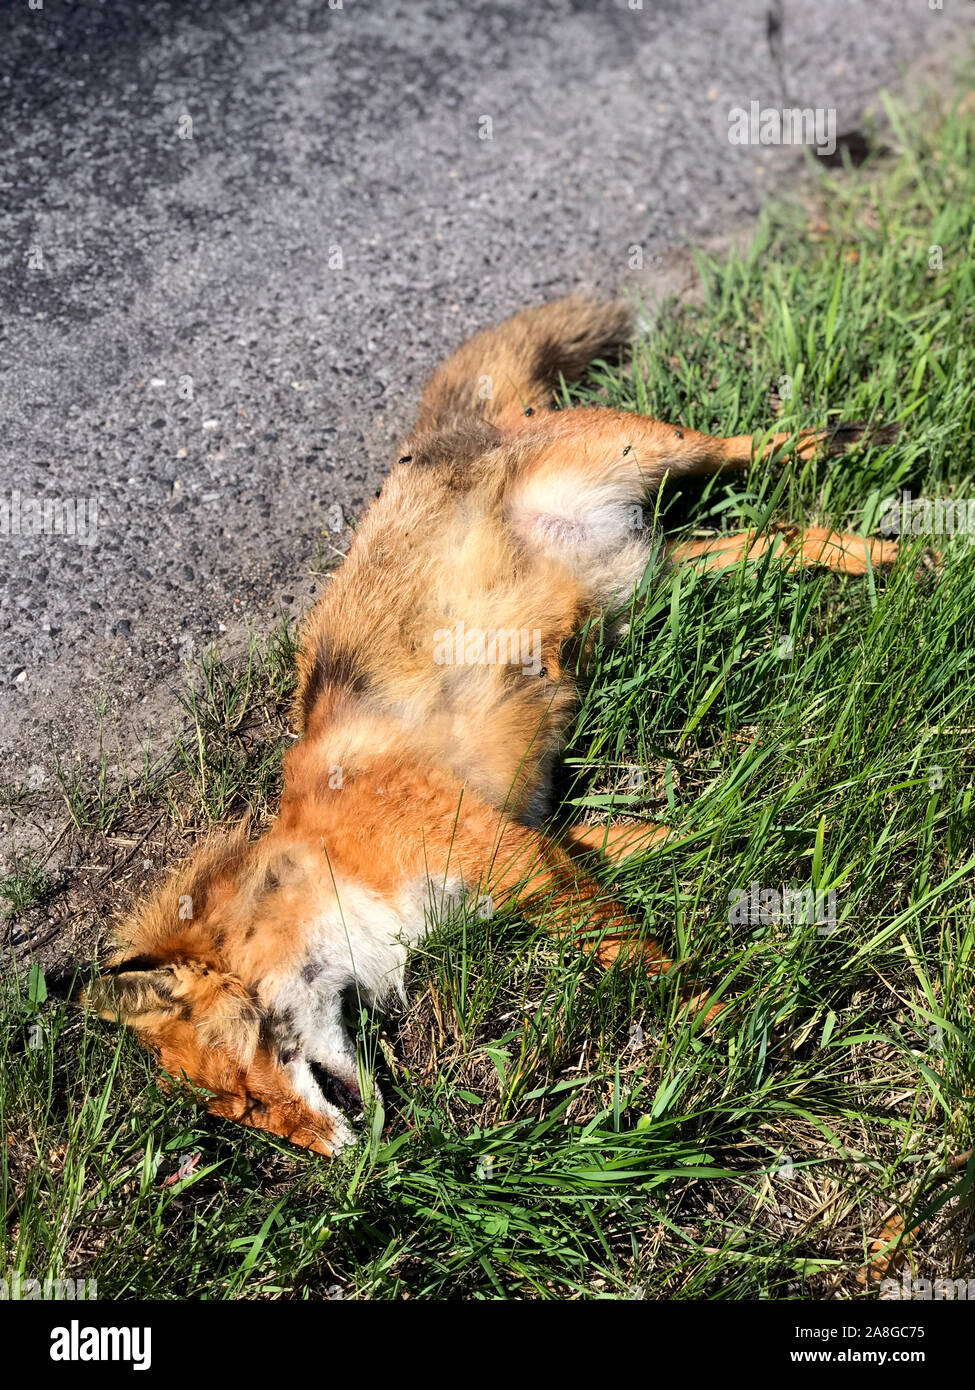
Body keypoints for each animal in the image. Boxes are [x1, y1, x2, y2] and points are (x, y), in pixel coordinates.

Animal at [61, 297, 902, 1155]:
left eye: (241, 1095)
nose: (335, 1159)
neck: (333, 867)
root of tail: (443, 436)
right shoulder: (538, 833)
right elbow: (679, 837)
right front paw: (784, 837)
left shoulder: (505, 854)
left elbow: (633, 957)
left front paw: (724, 1026)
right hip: (659, 578)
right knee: (786, 535)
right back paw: (894, 559)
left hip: (657, 452)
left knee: (753, 447)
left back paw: (857, 444)